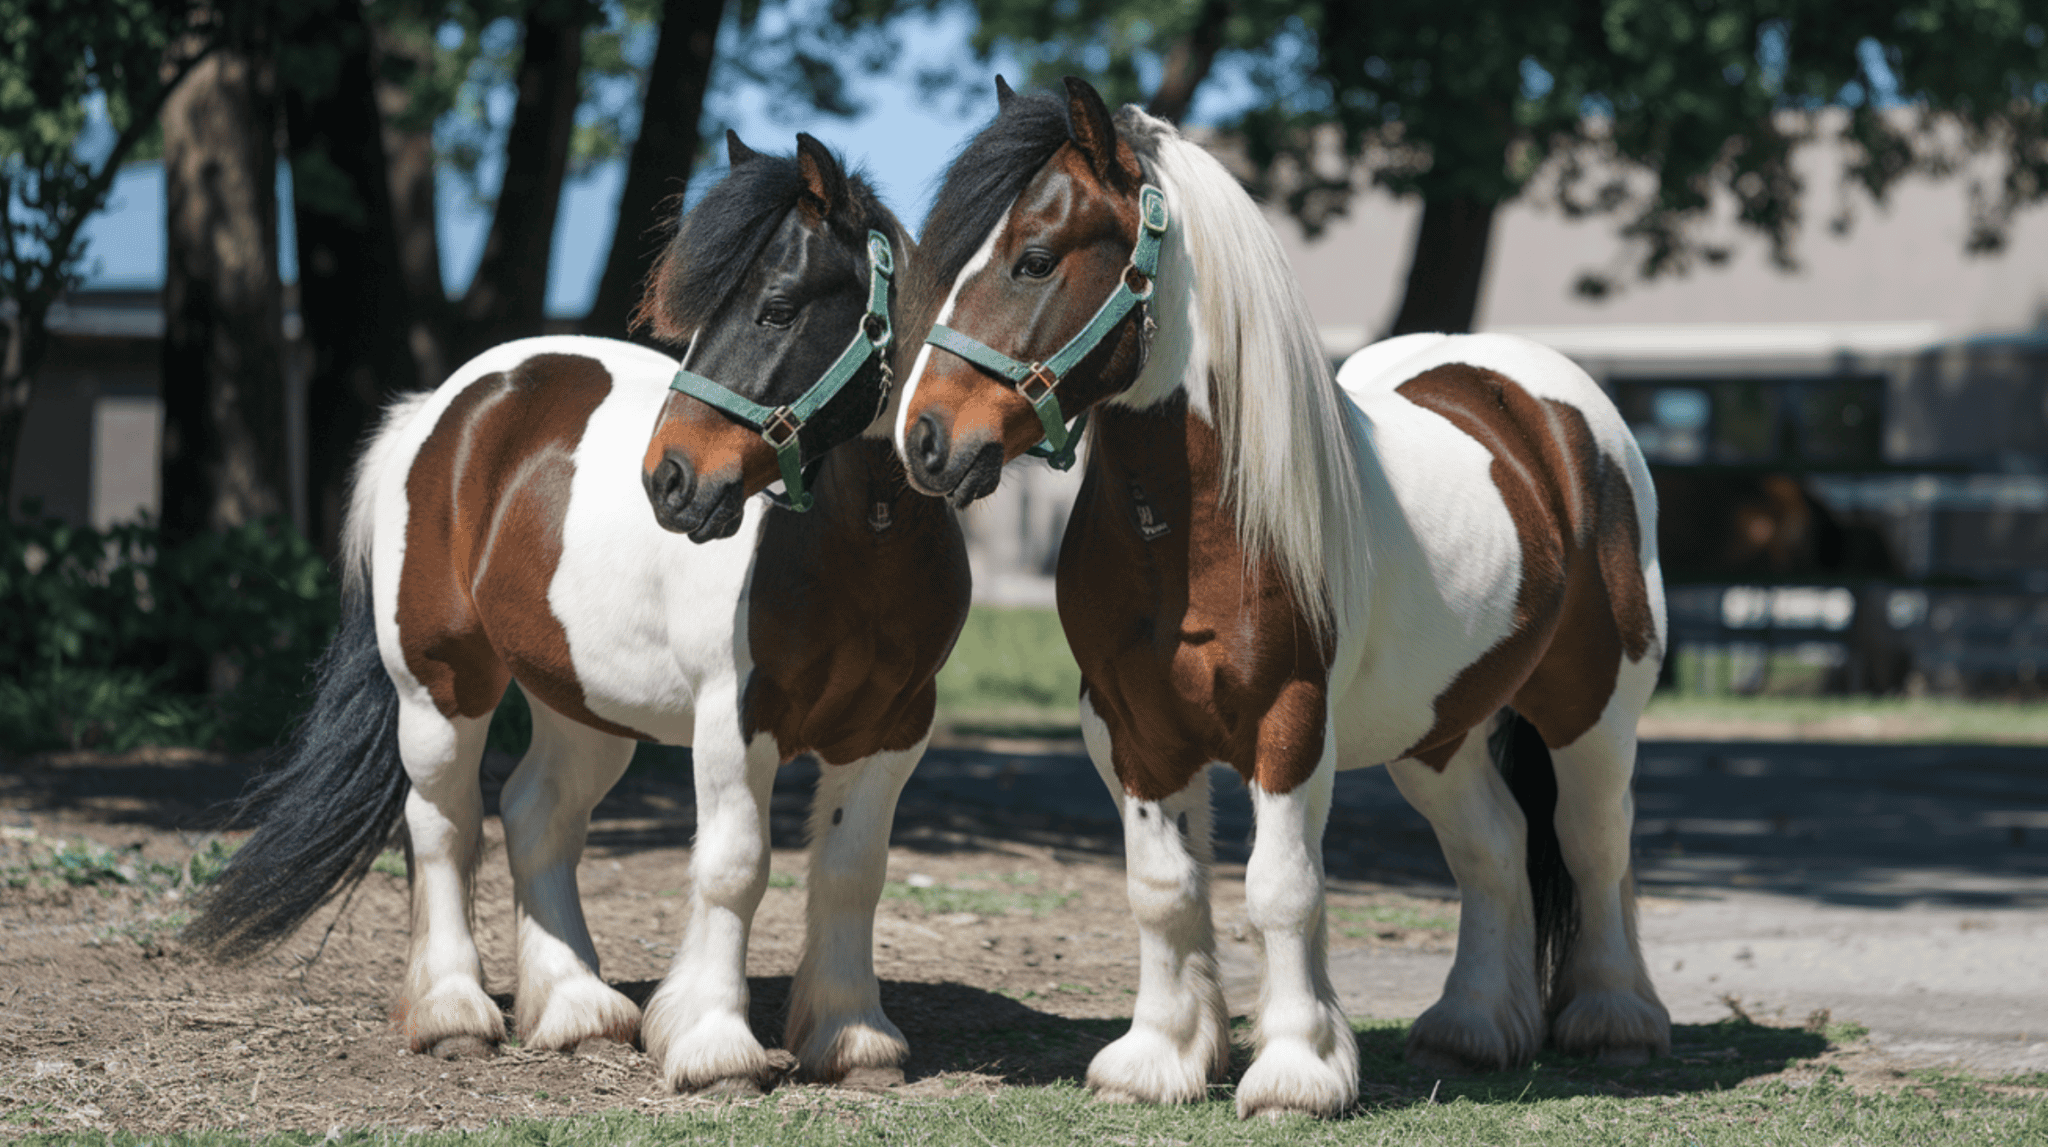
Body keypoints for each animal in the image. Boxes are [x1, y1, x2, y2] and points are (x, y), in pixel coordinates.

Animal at [187, 133, 971, 1095]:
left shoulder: (893, 728)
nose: (670, 481)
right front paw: (715, 1047)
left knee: (536, 814)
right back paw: (454, 1013)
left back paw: (576, 1009)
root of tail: (439, 410)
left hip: (583, 701)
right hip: (441, 685)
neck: (857, 542)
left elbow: (854, 871)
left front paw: (855, 1039)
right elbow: (735, 867)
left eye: (778, 308)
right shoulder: (734, 721)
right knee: (443, 823)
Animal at [893, 77, 1669, 1118]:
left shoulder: (1289, 724)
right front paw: (1160, 1057)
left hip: (1594, 705)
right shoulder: (1131, 728)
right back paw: (1471, 1028)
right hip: (1439, 731)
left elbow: (1280, 889)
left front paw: (1298, 1070)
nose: (925, 439)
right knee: (1497, 847)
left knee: (1594, 843)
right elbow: (1164, 886)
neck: (1199, 526)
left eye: (1036, 258)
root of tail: (1551, 407)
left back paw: (1617, 1019)